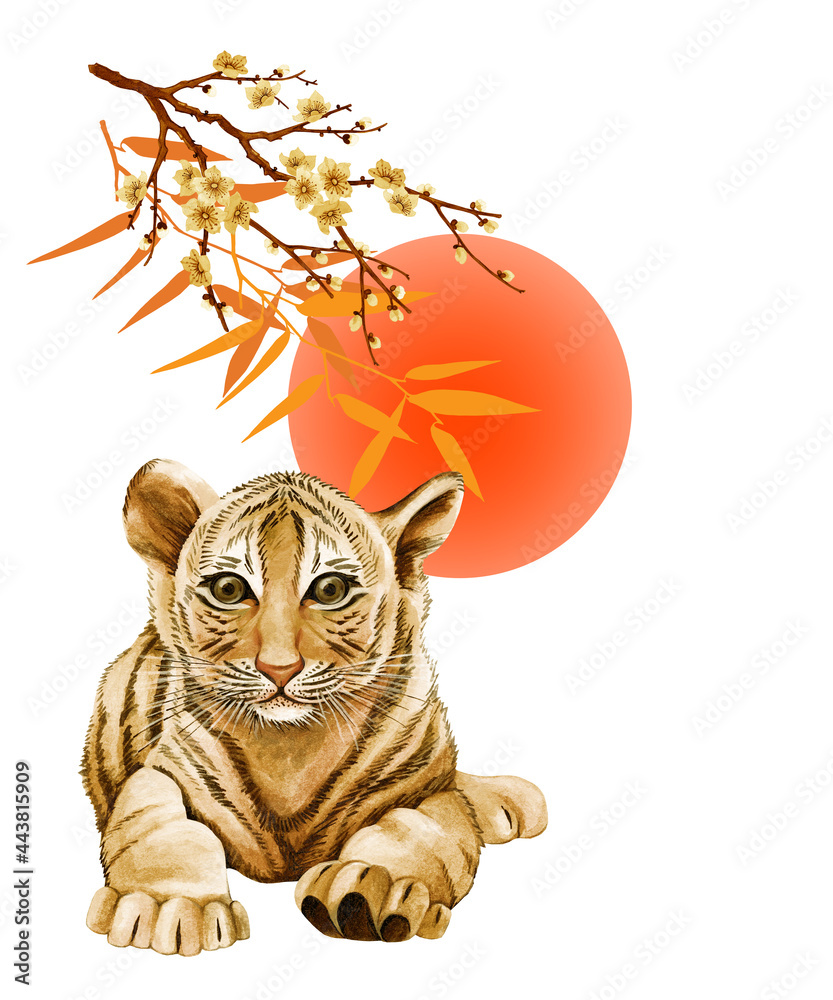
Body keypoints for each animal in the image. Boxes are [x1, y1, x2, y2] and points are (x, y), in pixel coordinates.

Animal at [81, 459, 547, 955]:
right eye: (228, 589)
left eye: (330, 589)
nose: (279, 667)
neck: (288, 747)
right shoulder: (163, 770)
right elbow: (163, 827)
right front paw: (167, 905)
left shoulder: (426, 789)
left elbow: (418, 831)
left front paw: (372, 892)